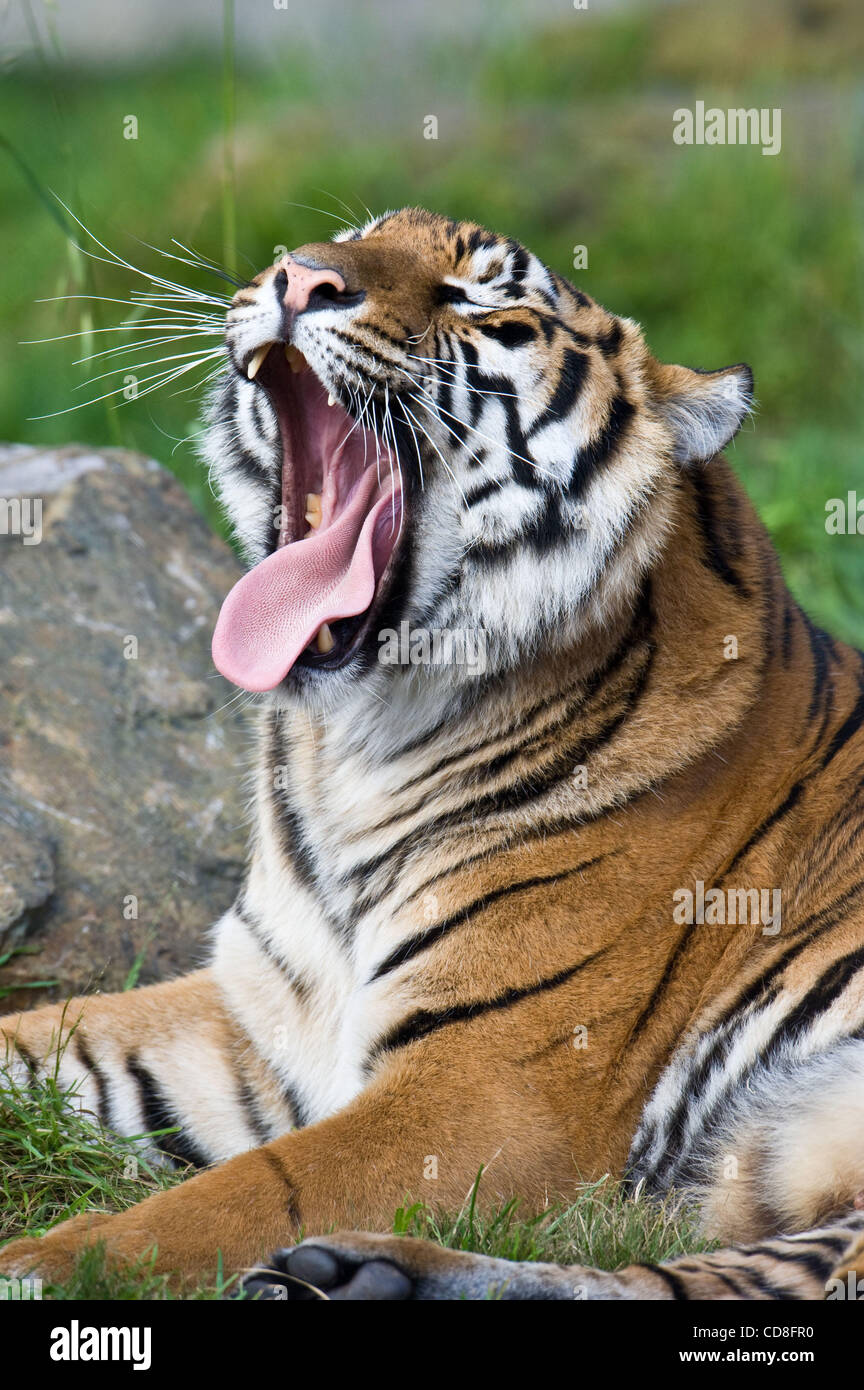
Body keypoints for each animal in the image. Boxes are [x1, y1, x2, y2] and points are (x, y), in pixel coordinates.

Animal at [2, 206, 864, 1302]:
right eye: (342, 238)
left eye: (483, 304)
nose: (298, 278)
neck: (350, 749)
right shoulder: (258, 1017)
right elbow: (43, 1038)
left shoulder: (486, 1086)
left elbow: (240, 1193)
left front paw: (44, 1261)